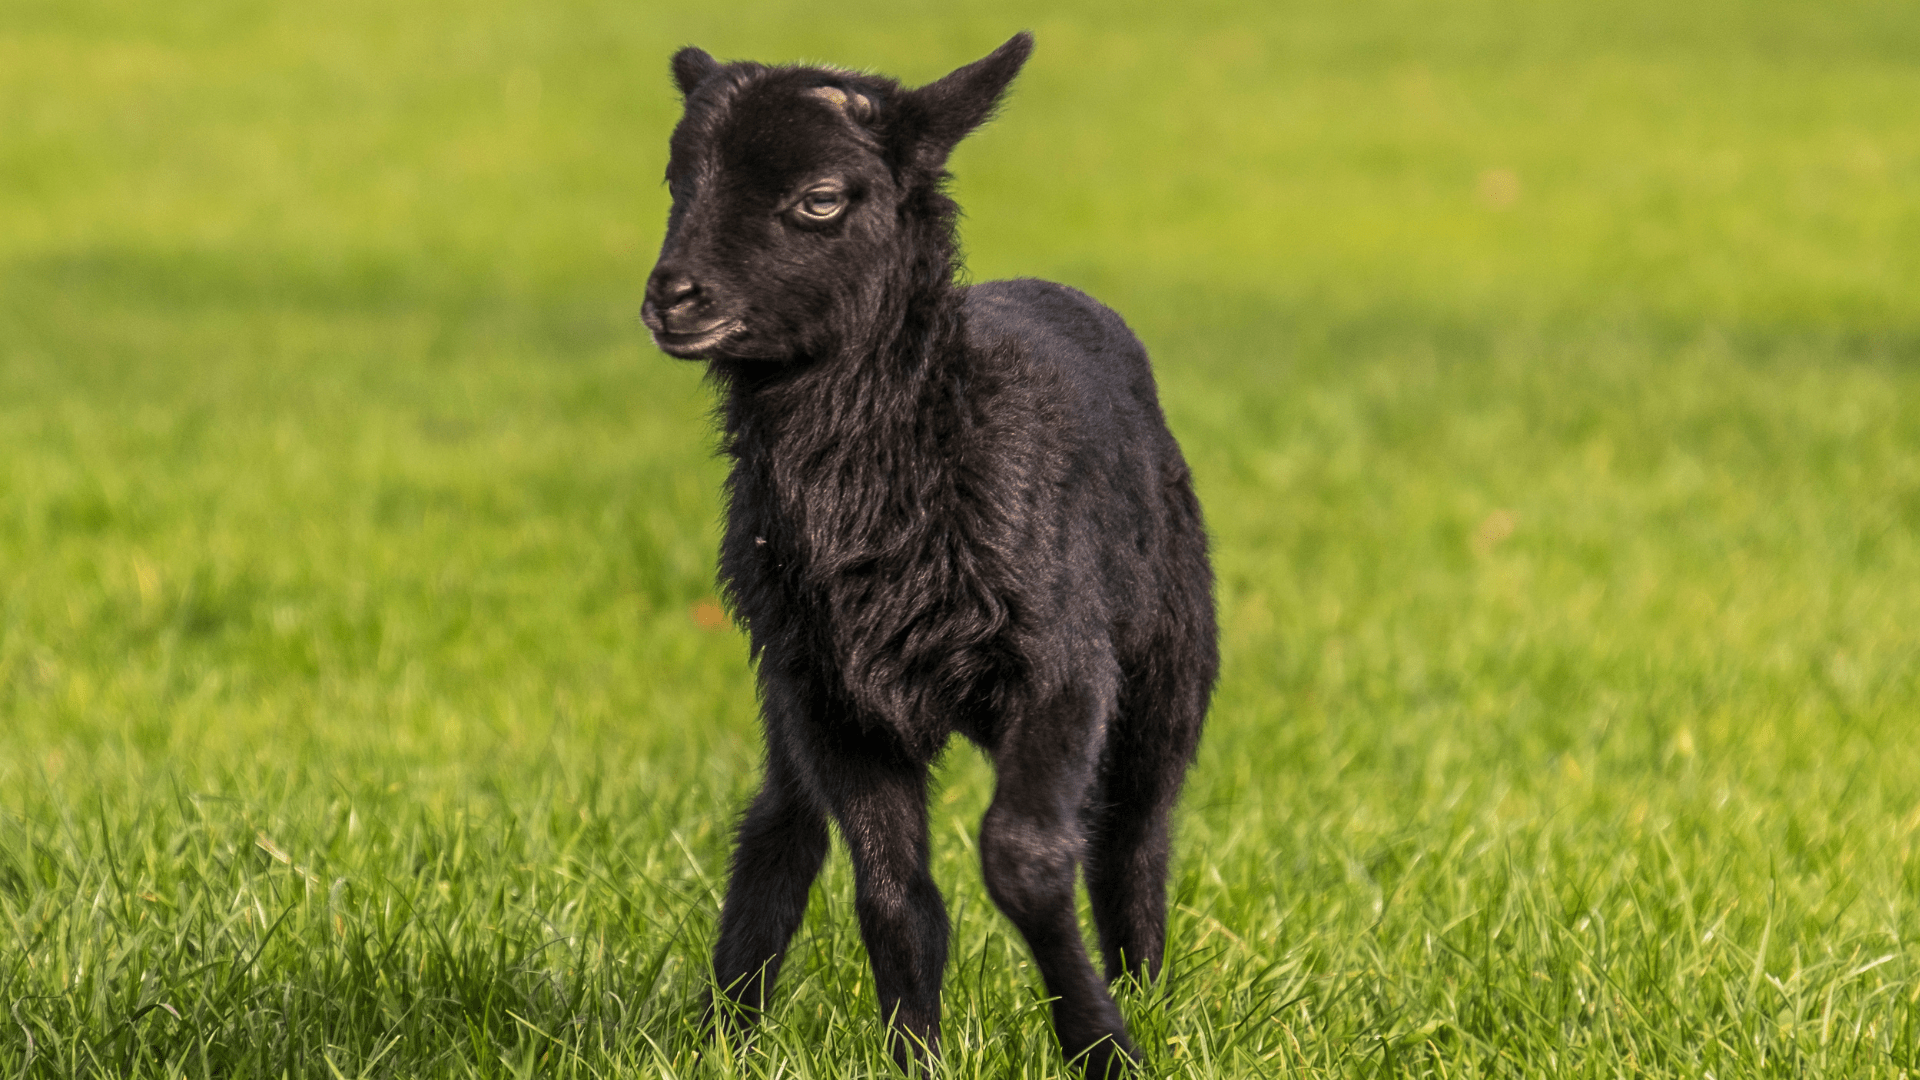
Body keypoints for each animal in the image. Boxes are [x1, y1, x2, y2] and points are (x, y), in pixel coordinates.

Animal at [640, 32, 1217, 1077]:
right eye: (677, 180)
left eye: (821, 198)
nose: (672, 298)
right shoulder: (839, 701)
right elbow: (895, 902)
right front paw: (915, 1053)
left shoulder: (1062, 666)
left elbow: (1025, 857)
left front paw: (1103, 1045)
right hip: (786, 687)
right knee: (781, 826)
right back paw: (724, 1028)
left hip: (1168, 662)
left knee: (1135, 835)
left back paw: (1150, 994)